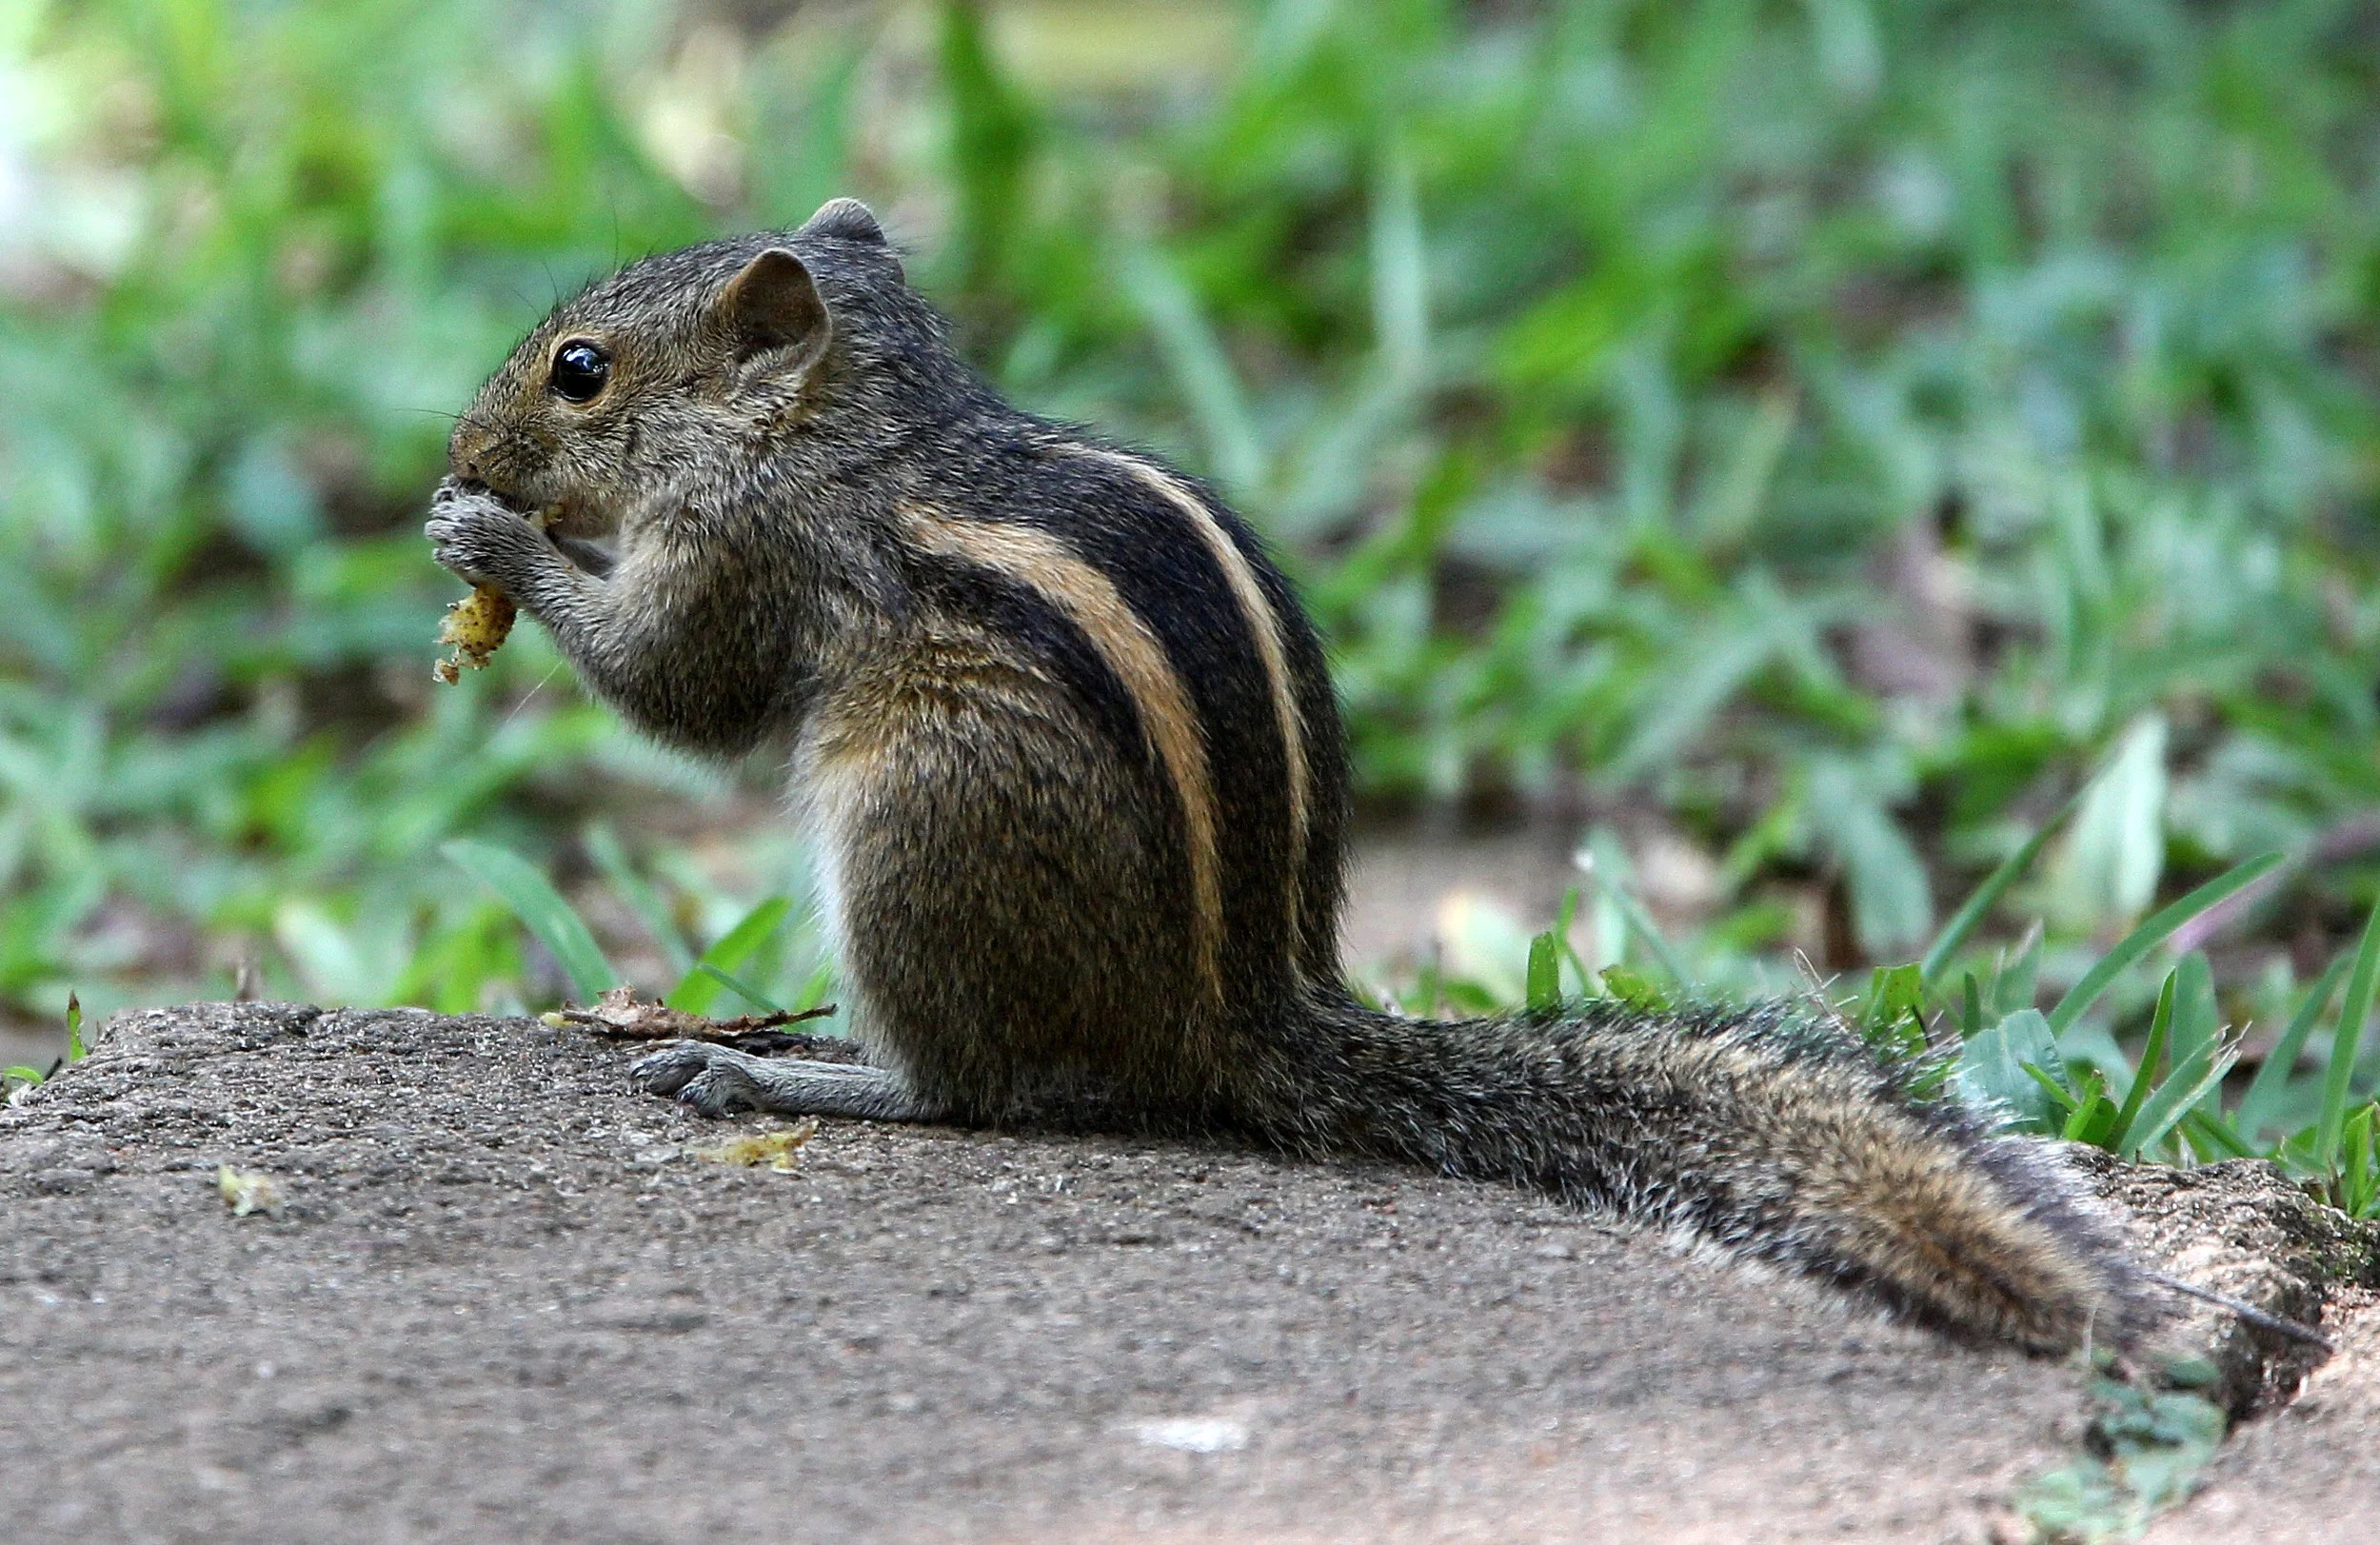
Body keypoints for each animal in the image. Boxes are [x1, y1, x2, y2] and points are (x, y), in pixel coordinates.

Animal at [427, 197, 2153, 1353]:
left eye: (580, 368)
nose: (458, 446)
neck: (853, 426)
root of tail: (1246, 1011)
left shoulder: (754, 553)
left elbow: (681, 687)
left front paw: (489, 537)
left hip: (918, 820)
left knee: (966, 1090)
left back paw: (781, 1070)